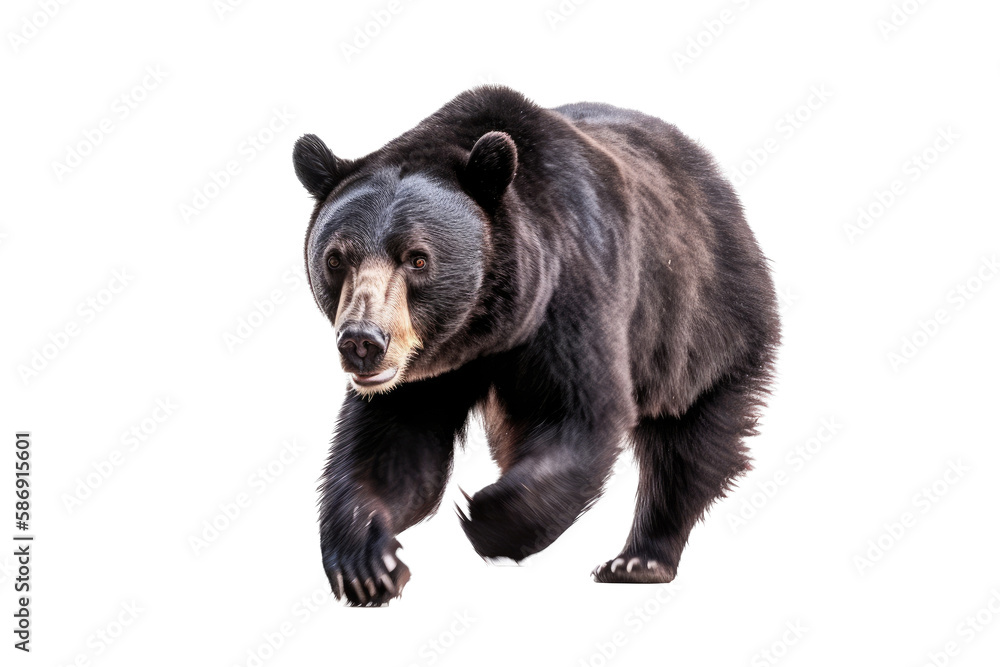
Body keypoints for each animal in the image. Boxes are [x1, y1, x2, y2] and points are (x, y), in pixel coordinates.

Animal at [292, 86, 780, 606]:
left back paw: (640, 559)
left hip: (703, 323)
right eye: (336, 259)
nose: (362, 342)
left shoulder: (572, 289)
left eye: (418, 259)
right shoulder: (424, 369)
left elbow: (580, 414)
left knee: (689, 445)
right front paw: (368, 564)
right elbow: (393, 450)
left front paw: (485, 515)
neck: (487, 329)